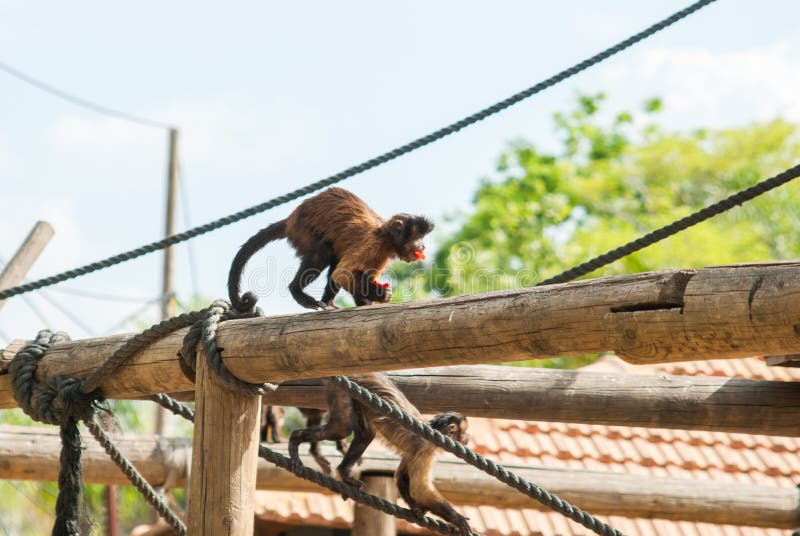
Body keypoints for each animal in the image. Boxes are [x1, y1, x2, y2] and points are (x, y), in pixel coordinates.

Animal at [228, 187, 433, 312]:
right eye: (417, 238)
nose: (423, 246)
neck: (385, 236)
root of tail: (291, 218)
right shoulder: (374, 246)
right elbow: (342, 274)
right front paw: (380, 294)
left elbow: (346, 274)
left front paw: (365, 302)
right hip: (304, 229)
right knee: (321, 256)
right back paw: (298, 291)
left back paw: (328, 302)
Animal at [288, 374, 473, 535]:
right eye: (463, 433)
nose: (467, 438)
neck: (433, 430)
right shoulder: (426, 448)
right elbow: (419, 489)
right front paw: (457, 519)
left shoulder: (416, 451)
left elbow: (401, 475)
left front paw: (417, 509)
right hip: (340, 389)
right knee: (341, 428)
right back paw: (295, 439)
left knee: (365, 433)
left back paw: (344, 472)